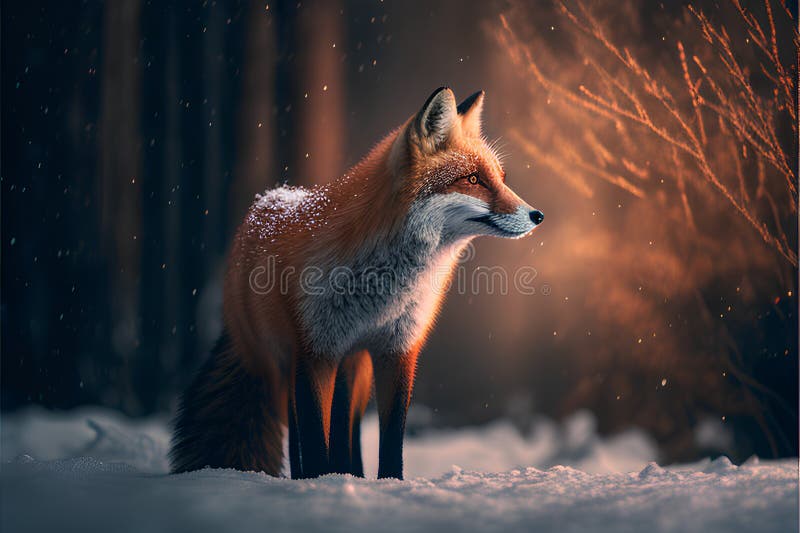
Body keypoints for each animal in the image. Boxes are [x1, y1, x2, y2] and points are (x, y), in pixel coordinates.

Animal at [170, 87, 544, 480]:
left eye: (501, 177)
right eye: (472, 179)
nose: (537, 215)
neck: (382, 293)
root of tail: (265, 200)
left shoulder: (398, 349)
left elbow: (390, 439)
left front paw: (387, 483)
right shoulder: (314, 351)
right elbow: (313, 438)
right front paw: (318, 481)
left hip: (355, 367)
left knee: (346, 426)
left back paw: (351, 473)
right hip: (288, 362)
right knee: (298, 427)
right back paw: (316, 475)